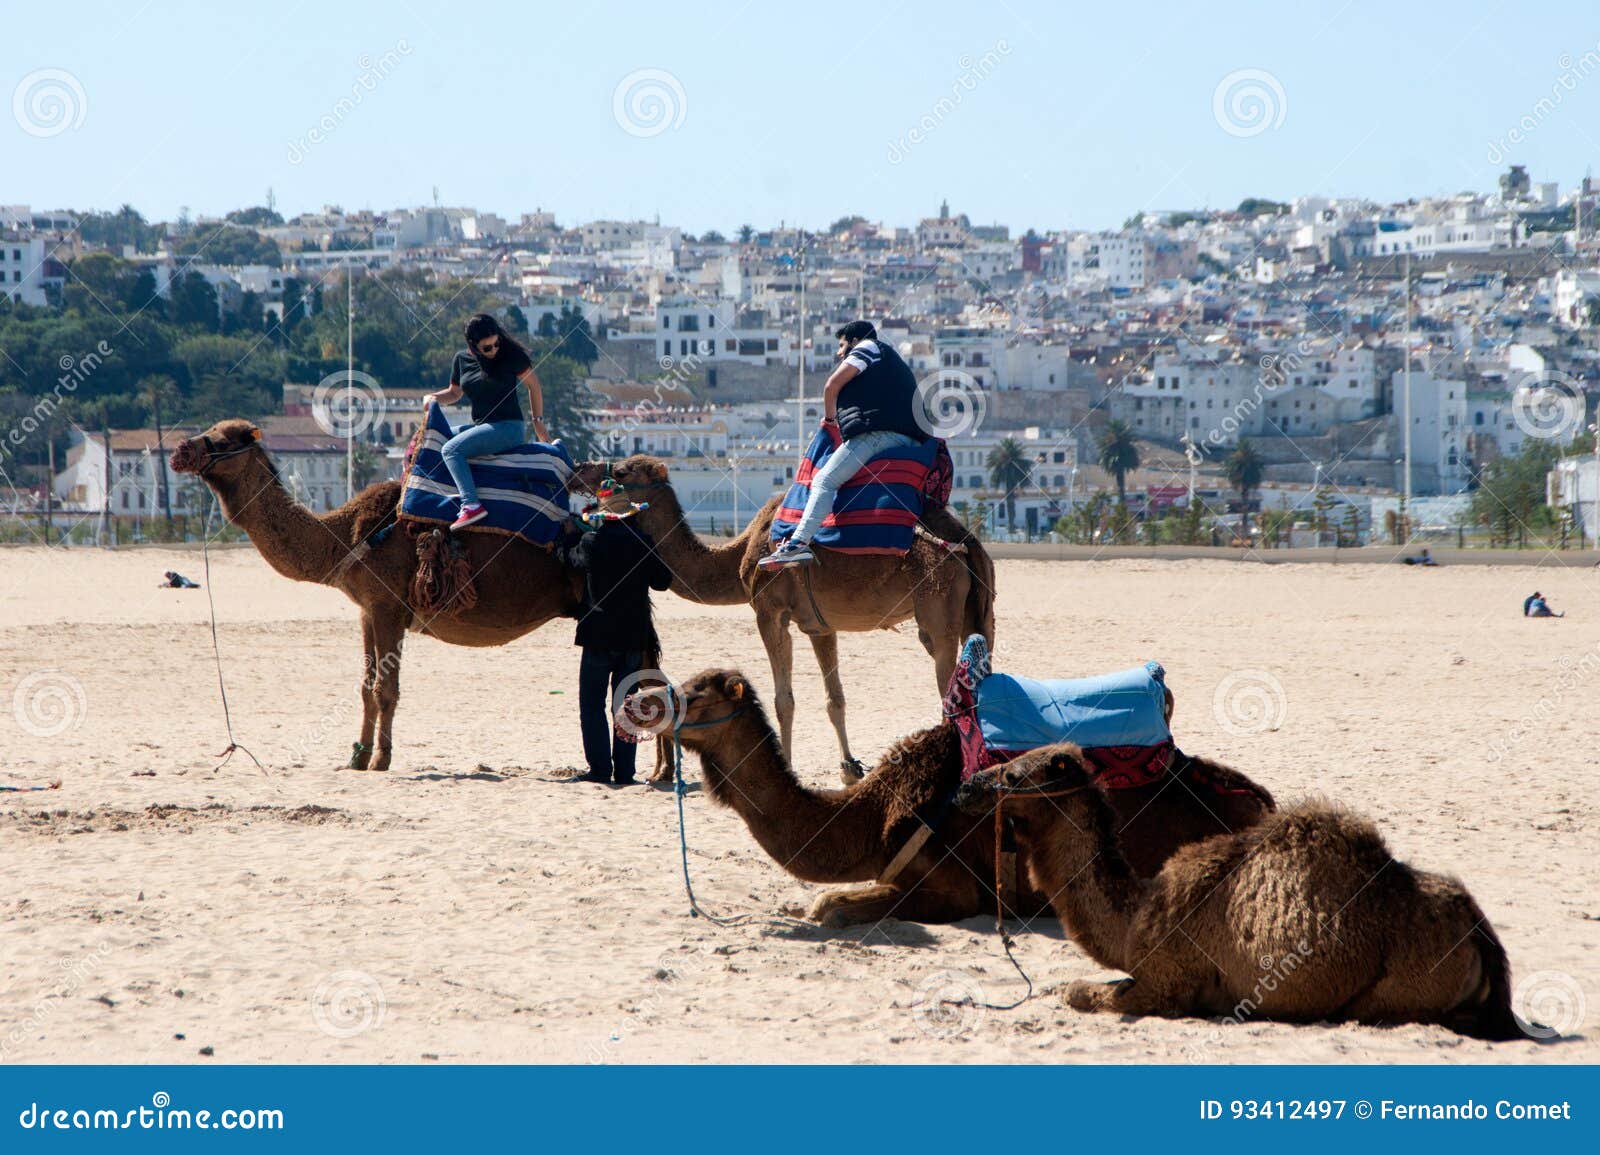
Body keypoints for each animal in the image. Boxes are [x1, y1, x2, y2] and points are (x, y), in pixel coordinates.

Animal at [171, 419, 582, 772]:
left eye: (223, 441)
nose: (179, 451)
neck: (345, 538)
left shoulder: (389, 608)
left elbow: (387, 689)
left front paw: (381, 759)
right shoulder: (367, 610)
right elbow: (366, 687)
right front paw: (357, 757)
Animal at [572, 455, 995, 783]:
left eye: (621, 471)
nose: (578, 470)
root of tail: (968, 543)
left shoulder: (770, 612)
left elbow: (783, 700)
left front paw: (787, 767)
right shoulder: (820, 626)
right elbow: (835, 699)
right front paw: (849, 769)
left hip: (938, 615)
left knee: (949, 689)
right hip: (978, 613)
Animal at [635, 668, 1274, 926]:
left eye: (696, 691)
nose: (639, 700)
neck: (874, 814)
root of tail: (1264, 802)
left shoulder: (956, 888)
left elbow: (832, 904)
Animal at [954, 745, 1529, 1040]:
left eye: (1014, 773)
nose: (965, 786)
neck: (1139, 913)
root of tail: (1479, 931)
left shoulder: (1165, 985)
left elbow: (1077, 992)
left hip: (1398, 988)